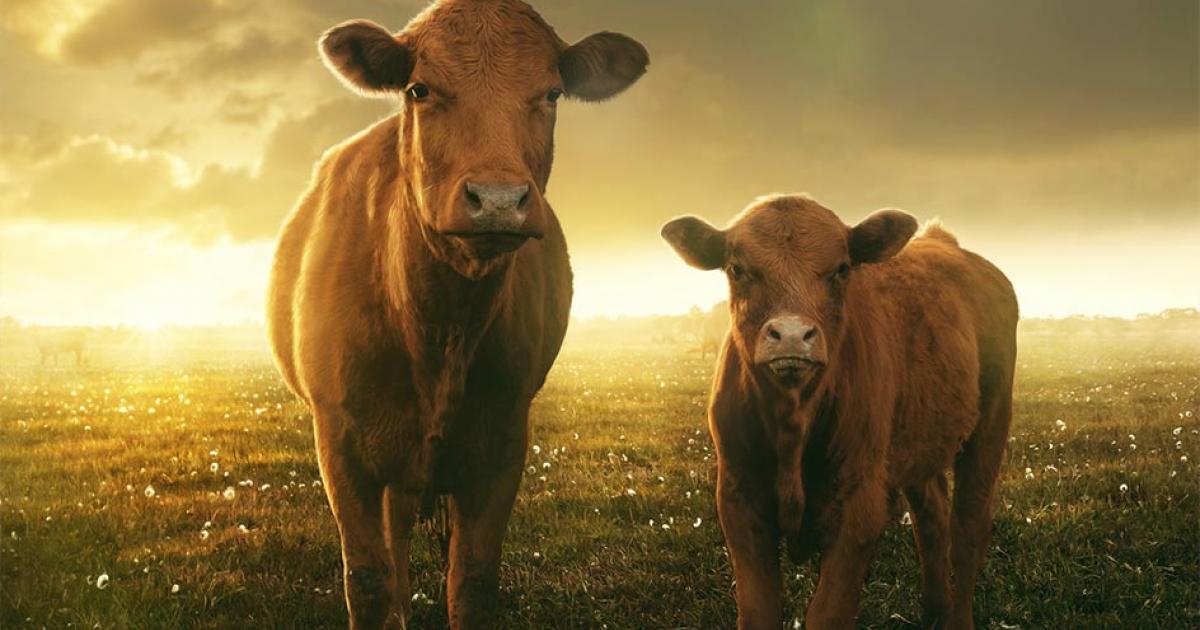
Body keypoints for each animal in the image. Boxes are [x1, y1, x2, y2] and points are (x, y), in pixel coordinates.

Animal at [266, 2, 647, 628]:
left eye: (553, 92)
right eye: (420, 89)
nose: (497, 200)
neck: (438, 329)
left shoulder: (501, 440)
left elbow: (471, 580)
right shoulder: (339, 440)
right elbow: (367, 581)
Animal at [661, 194, 1018, 629]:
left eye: (842, 268)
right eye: (737, 268)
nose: (792, 335)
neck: (793, 423)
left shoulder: (859, 505)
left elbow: (828, 613)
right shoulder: (739, 498)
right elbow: (758, 611)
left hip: (991, 424)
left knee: (969, 527)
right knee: (932, 513)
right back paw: (935, 611)